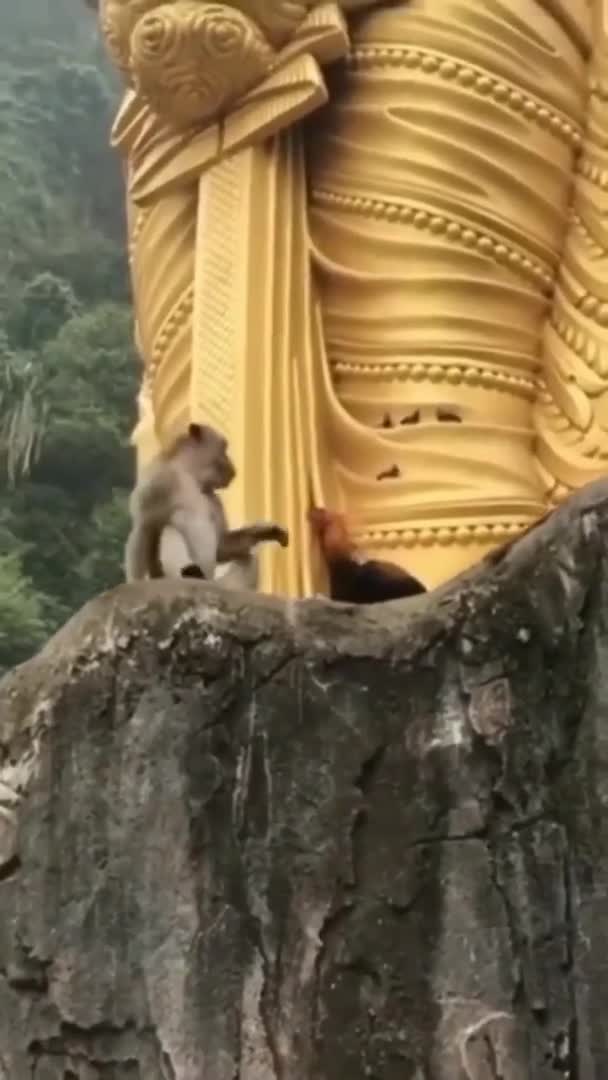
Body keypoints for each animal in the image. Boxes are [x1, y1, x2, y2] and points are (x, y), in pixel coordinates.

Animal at [124, 422, 288, 588]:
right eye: (224, 448)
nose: (233, 467)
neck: (191, 475)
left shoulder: (213, 499)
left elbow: (221, 546)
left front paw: (267, 531)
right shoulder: (160, 482)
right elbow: (145, 528)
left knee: (248, 559)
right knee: (172, 524)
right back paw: (192, 573)